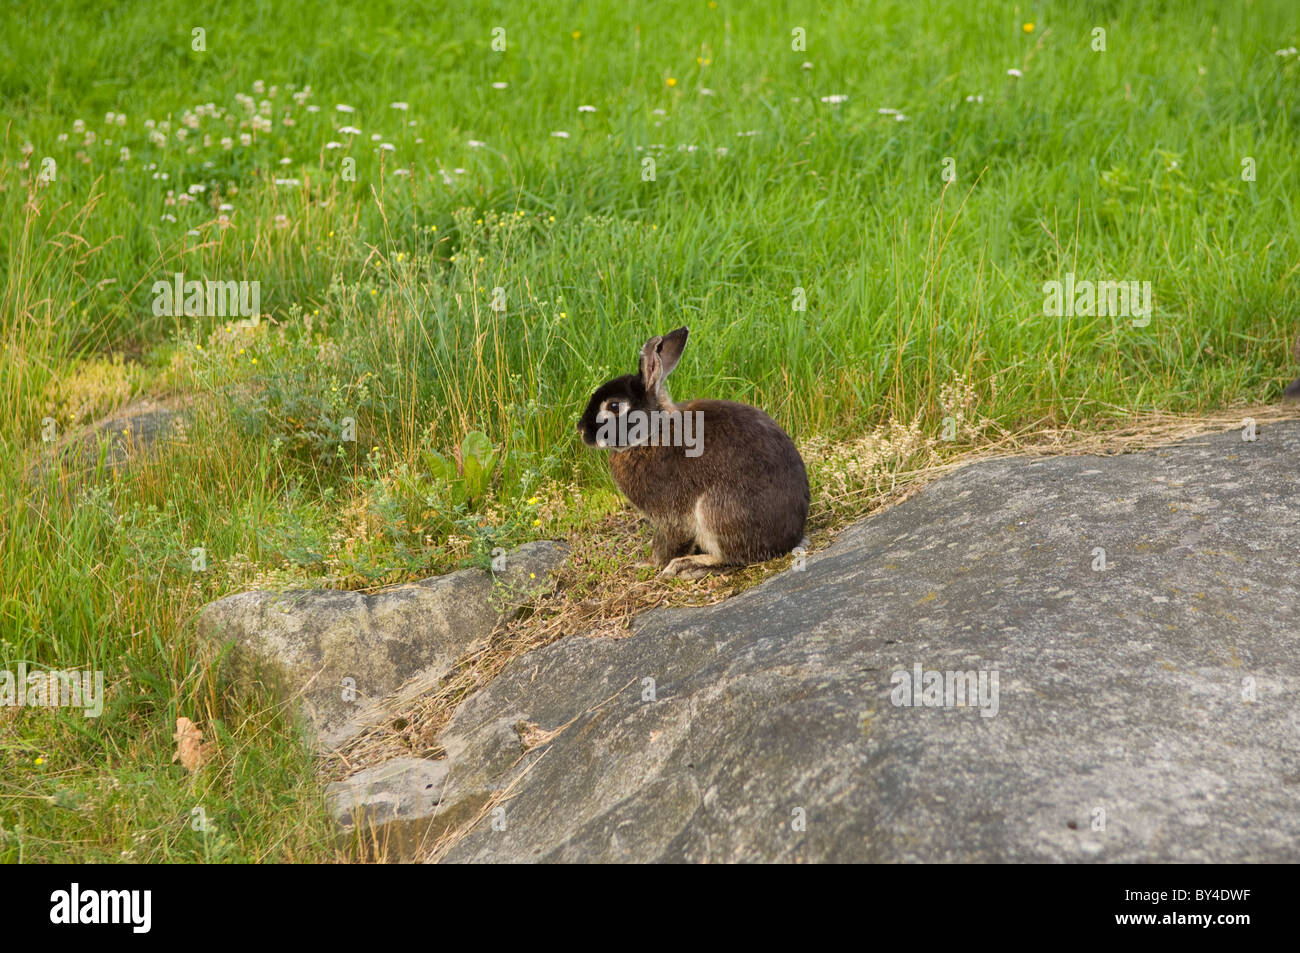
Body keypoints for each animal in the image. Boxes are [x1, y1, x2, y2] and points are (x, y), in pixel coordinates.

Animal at [577, 326, 810, 578]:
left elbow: (669, 542)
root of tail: (789, 539)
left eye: (613, 406)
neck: (652, 433)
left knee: (732, 557)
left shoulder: (671, 517)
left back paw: (686, 565)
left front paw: (649, 564)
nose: (581, 430)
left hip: (717, 512)